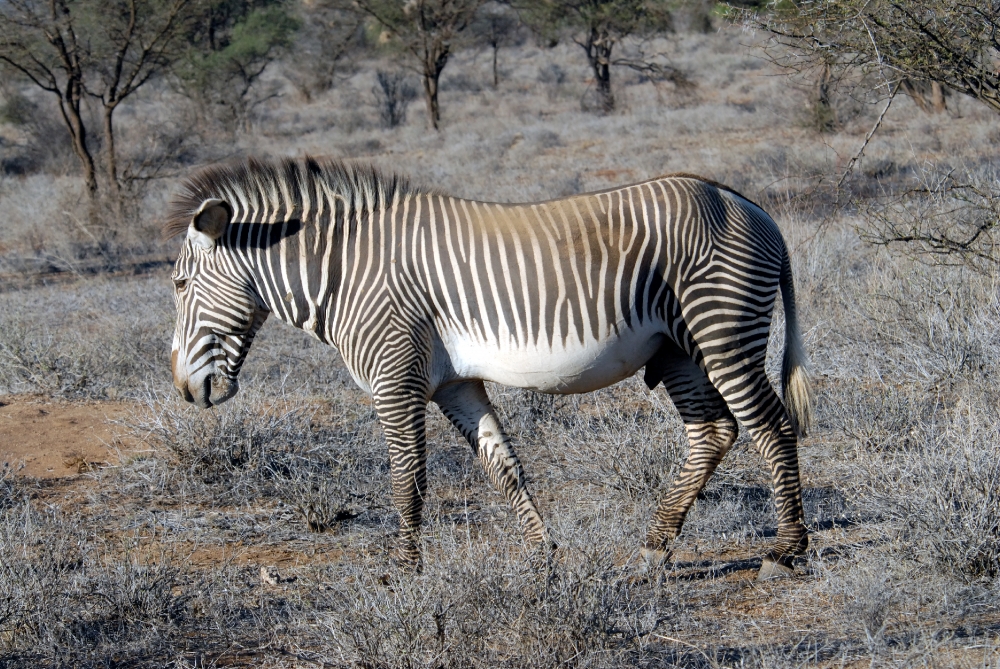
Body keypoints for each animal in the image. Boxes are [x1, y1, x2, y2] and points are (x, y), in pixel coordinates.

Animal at [165, 156, 813, 579]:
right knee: (714, 432)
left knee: (772, 428)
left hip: (724, 333)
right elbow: (503, 467)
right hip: (679, 350)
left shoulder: (396, 377)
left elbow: (408, 477)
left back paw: (786, 552)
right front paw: (543, 555)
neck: (347, 274)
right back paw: (656, 547)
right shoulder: (455, 382)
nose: (184, 389)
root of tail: (745, 201)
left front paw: (403, 571)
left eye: (178, 286)